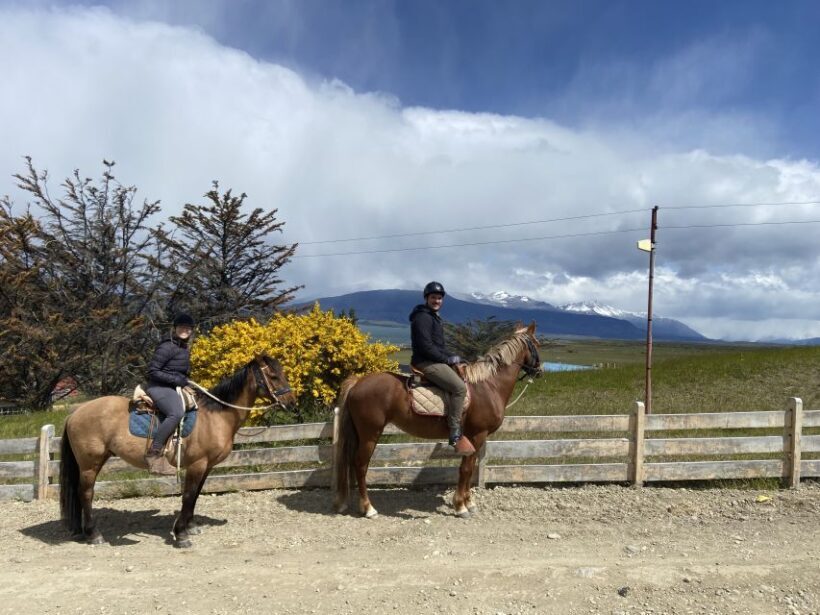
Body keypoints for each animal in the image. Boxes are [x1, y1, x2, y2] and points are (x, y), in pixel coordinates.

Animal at [59, 354, 295, 548]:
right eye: (273, 376)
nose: (291, 403)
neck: (215, 416)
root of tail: (75, 413)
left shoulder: (206, 466)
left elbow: (196, 495)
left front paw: (190, 527)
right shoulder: (198, 464)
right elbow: (189, 495)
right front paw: (181, 535)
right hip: (90, 464)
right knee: (86, 493)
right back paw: (94, 535)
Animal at [333, 322, 542, 518]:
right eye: (537, 344)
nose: (540, 371)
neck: (488, 385)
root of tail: (357, 383)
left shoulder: (475, 438)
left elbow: (470, 467)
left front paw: (469, 503)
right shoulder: (477, 435)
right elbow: (466, 469)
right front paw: (461, 506)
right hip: (370, 434)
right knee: (361, 465)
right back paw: (369, 509)